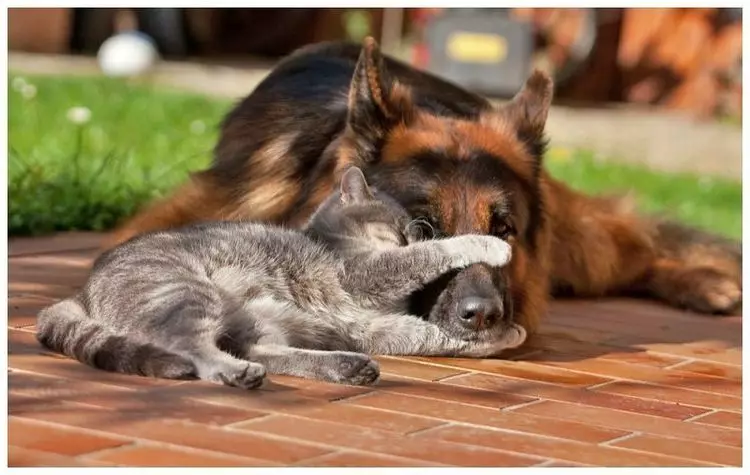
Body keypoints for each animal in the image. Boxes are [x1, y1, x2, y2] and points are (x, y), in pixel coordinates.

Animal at [38, 167, 524, 390]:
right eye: (398, 226)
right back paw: (236, 373)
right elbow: (429, 258)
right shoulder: (362, 274)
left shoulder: (376, 326)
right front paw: (487, 246)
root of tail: (83, 290)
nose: (409, 234)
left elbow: (433, 335)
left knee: (262, 351)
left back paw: (347, 366)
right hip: (186, 294)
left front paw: (502, 334)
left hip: (262, 320)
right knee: (191, 348)